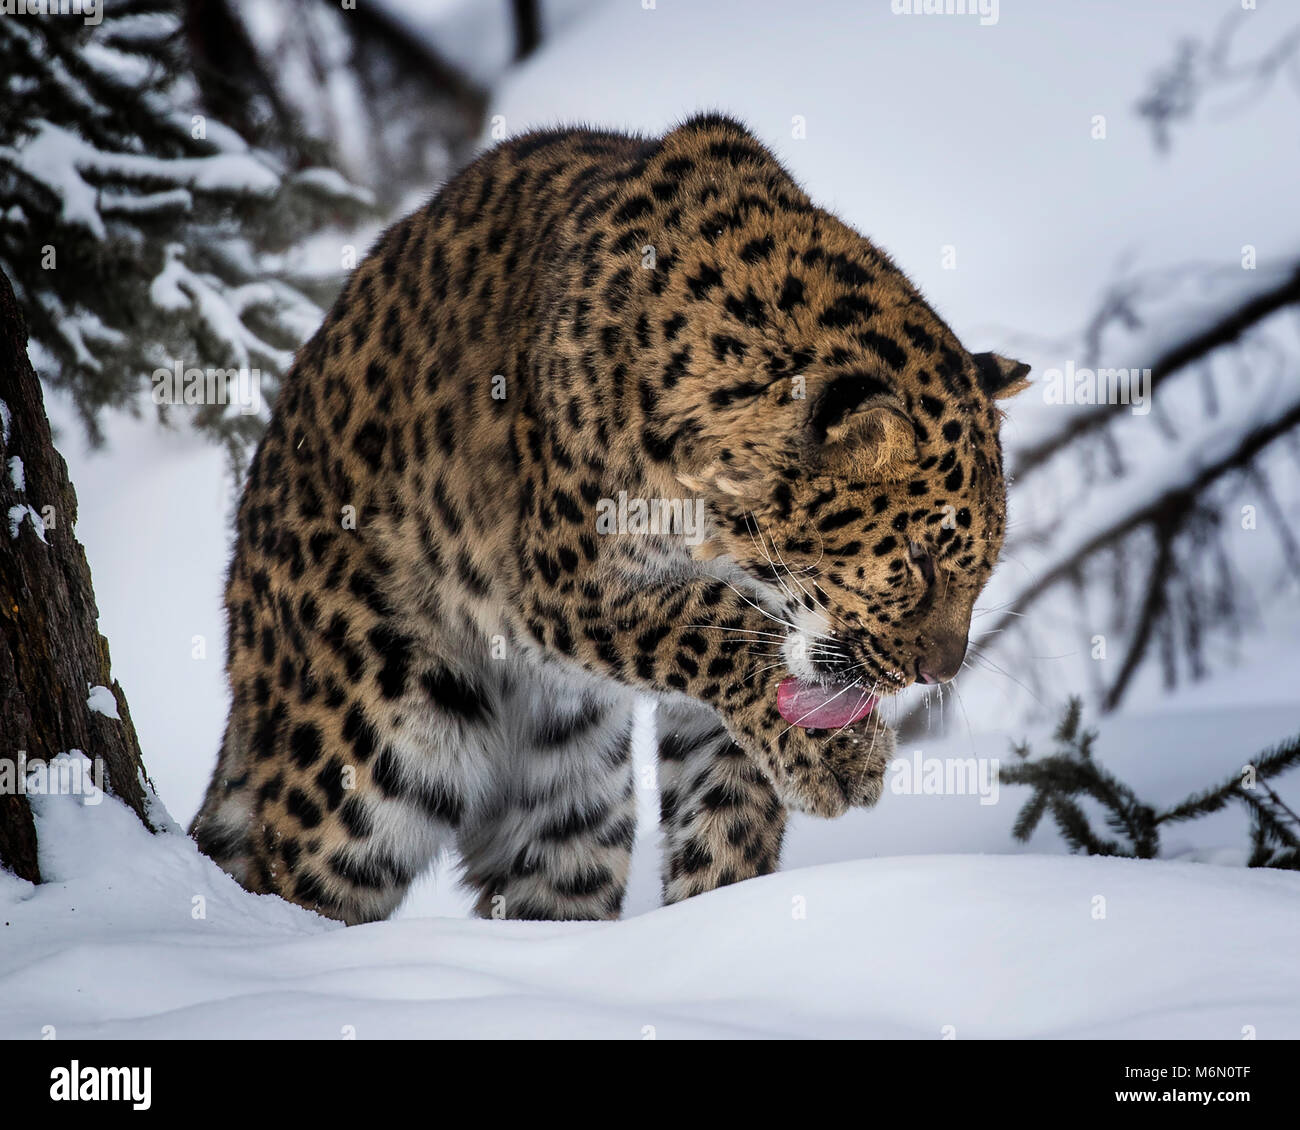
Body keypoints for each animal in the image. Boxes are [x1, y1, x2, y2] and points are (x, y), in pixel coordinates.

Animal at [190, 113, 1030, 924]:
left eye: (980, 569)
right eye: (920, 558)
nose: (939, 672)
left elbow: (728, 805)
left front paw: (716, 915)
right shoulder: (557, 582)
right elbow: (709, 626)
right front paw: (840, 759)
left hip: (570, 801)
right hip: (367, 761)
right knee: (283, 878)